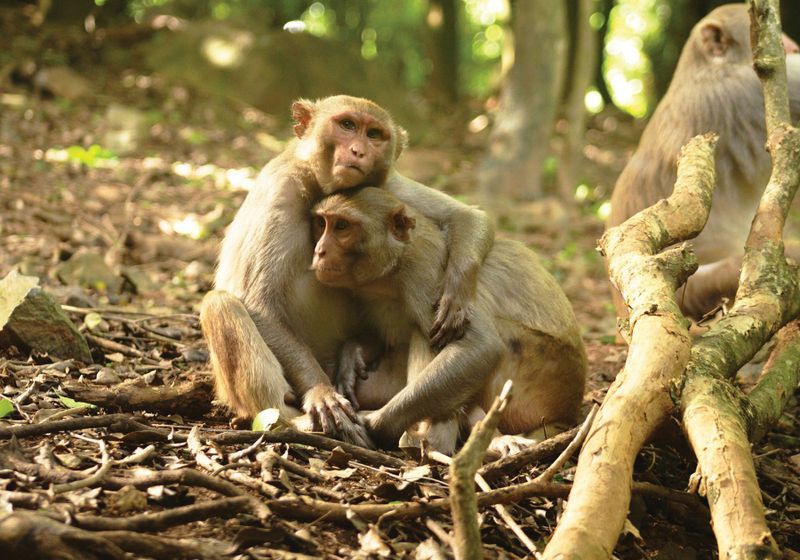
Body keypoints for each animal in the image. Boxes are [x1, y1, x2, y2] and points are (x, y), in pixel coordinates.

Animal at [199, 96, 494, 445]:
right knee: (221, 304)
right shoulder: (280, 189)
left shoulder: (388, 185)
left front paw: (455, 296)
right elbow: (258, 302)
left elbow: (467, 217)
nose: (358, 151)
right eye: (347, 125)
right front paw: (321, 392)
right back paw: (291, 421)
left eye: (375, 134)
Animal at [310, 186, 587, 453]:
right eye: (321, 224)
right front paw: (352, 354)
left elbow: (480, 346)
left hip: (539, 375)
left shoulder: (425, 273)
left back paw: (434, 441)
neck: (393, 267)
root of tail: (569, 411)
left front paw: (373, 424)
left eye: (342, 226)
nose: (319, 251)